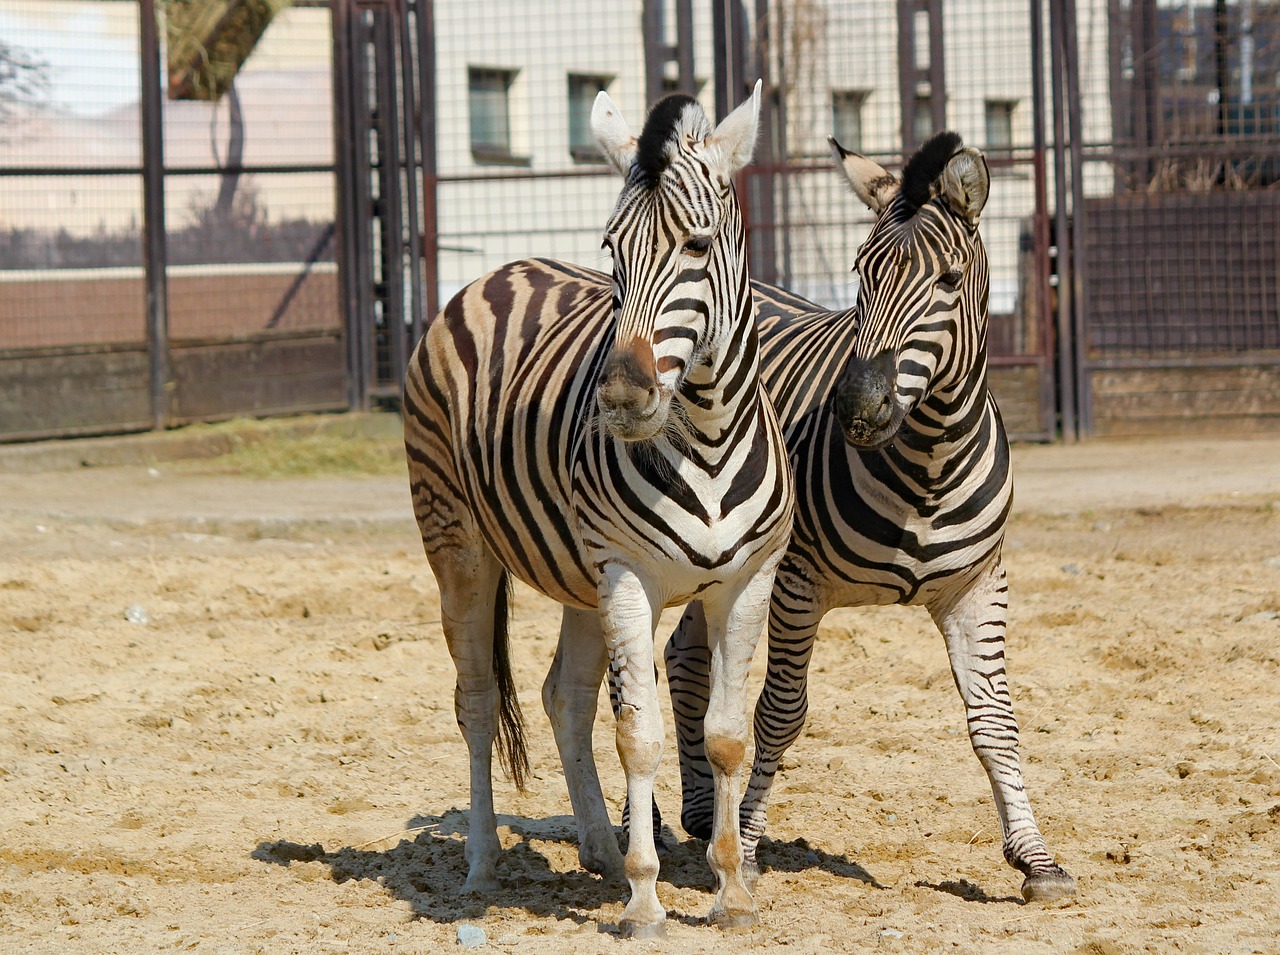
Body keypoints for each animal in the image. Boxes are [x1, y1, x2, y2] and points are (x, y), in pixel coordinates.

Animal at [402, 84, 794, 937]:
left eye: (697, 244)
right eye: (612, 251)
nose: (619, 398)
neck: (706, 436)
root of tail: (499, 273)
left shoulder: (746, 580)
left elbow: (725, 736)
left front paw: (731, 889)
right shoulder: (628, 576)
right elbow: (640, 735)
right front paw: (646, 898)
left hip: (577, 573)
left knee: (563, 694)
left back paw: (601, 852)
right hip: (459, 543)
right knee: (477, 699)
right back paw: (483, 864)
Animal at [603, 131, 1075, 902]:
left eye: (949, 280)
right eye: (862, 272)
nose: (856, 405)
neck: (928, 462)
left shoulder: (979, 588)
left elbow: (995, 722)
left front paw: (1036, 858)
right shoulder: (796, 584)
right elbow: (779, 713)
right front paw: (750, 846)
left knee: (683, 656)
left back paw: (703, 813)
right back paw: (646, 825)